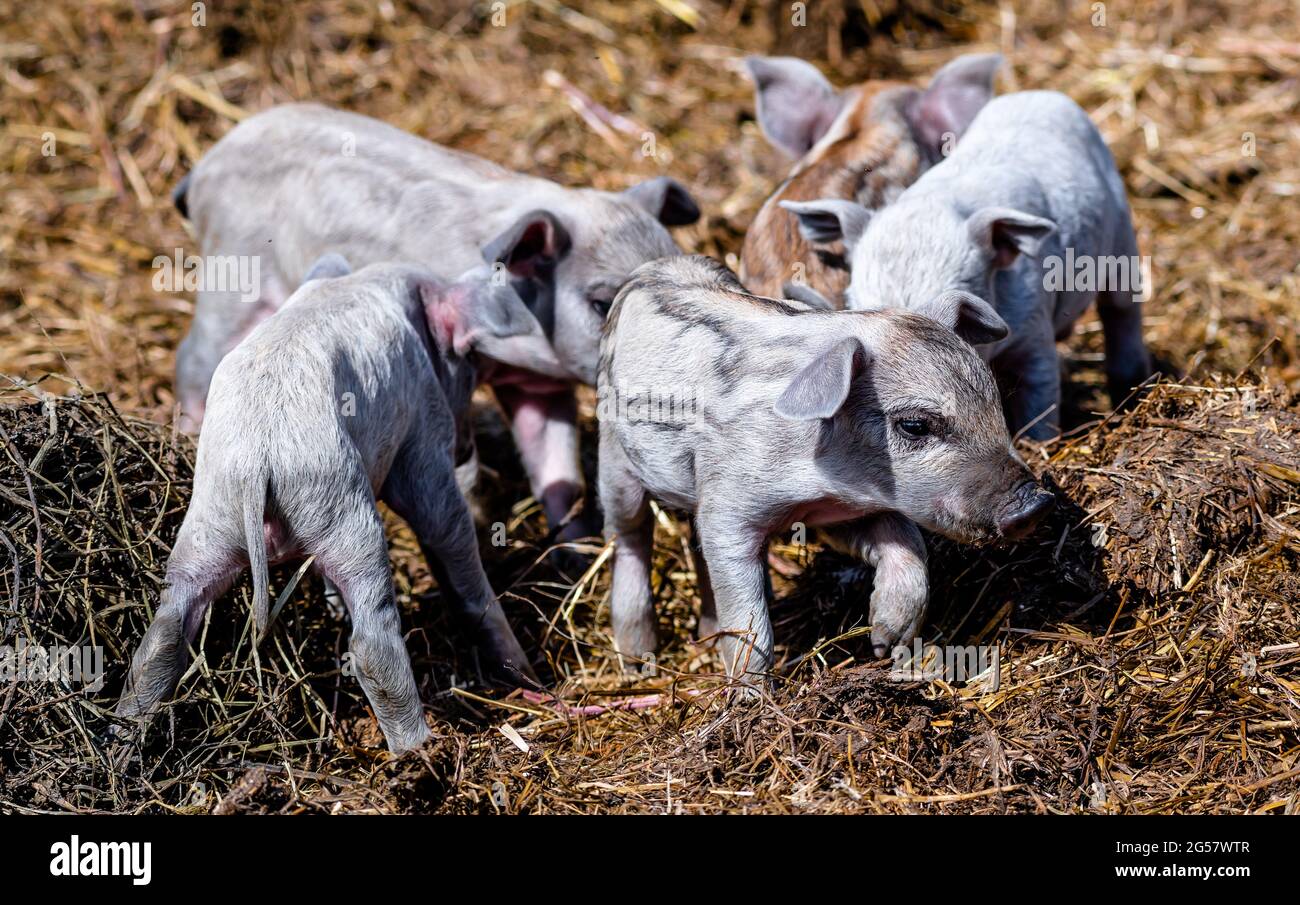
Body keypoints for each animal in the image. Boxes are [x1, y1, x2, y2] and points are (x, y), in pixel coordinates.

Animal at [117, 256, 543, 754]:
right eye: (470, 362)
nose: (467, 447)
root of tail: (259, 457)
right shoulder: (423, 428)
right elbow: (444, 524)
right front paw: (524, 671)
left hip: (209, 519)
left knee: (167, 627)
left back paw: (121, 739)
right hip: (343, 513)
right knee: (371, 642)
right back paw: (419, 748)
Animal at [173, 102, 700, 546]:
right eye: (601, 303)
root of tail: (204, 165)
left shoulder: (537, 384)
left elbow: (558, 472)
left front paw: (576, 548)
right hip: (232, 276)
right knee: (193, 360)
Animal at [597, 255, 1054, 679]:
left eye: (994, 401)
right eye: (914, 425)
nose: (1036, 504)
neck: (813, 484)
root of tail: (650, 269)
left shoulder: (843, 511)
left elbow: (910, 546)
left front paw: (886, 643)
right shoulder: (729, 509)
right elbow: (750, 625)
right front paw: (751, 696)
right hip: (613, 460)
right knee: (631, 536)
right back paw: (639, 663)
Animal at [781, 91, 1153, 440]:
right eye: (859, 307)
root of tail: (1045, 95)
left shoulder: (1034, 332)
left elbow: (1041, 400)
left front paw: (1039, 444)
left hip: (1123, 240)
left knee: (1122, 311)